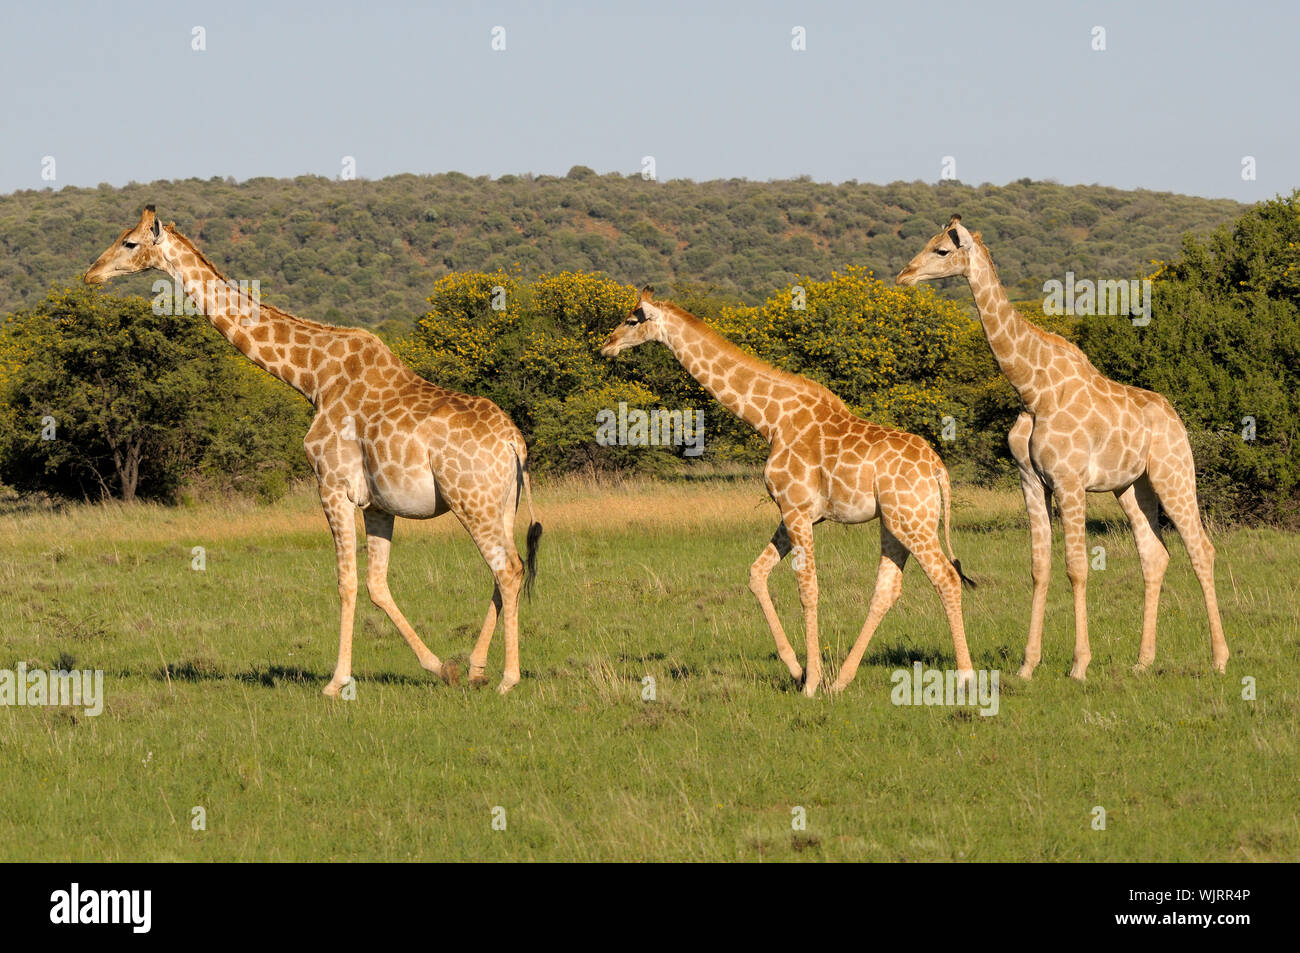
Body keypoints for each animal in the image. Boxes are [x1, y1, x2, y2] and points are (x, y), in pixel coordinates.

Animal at [85, 206, 542, 695]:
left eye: (130, 243)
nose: (91, 273)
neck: (313, 377)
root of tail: (514, 442)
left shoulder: (332, 486)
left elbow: (346, 583)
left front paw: (336, 683)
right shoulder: (378, 503)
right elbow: (377, 585)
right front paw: (440, 667)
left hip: (470, 499)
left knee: (508, 569)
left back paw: (508, 679)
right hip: (501, 503)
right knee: (505, 570)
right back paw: (475, 668)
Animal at [601, 288, 975, 697]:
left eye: (632, 320)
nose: (606, 345)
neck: (771, 420)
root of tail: (938, 469)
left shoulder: (795, 508)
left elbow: (807, 589)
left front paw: (810, 682)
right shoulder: (794, 512)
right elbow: (756, 574)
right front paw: (797, 671)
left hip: (913, 520)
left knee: (945, 577)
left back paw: (966, 678)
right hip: (894, 521)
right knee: (887, 588)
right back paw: (841, 680)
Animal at [898, 216, 1229, 680]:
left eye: (941, 251)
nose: (904, 275)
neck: (1032, 390)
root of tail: (1175, 417)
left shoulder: (1070, 481)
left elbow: (1077, 569)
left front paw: (1078, 665)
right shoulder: (1031, 481)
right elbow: (1040, 568)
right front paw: (1027, 665)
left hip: (1174, 472)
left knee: (1201, 549)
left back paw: (1219, 659)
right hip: (1133, 486)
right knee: (1154, 554)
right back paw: (1143, 661)